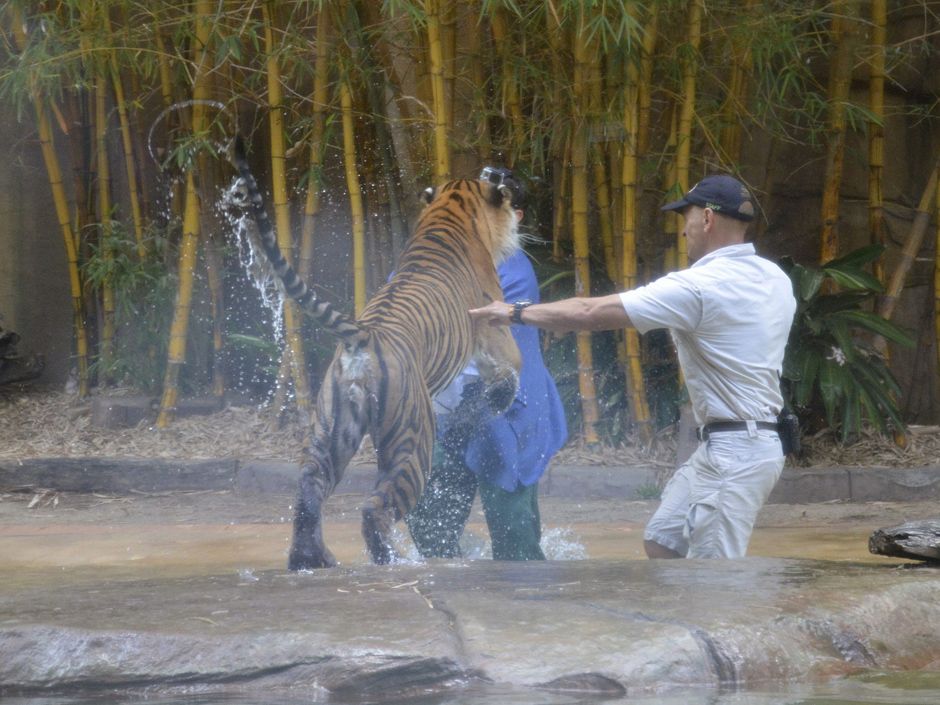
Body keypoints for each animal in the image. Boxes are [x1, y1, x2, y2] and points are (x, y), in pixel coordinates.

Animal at [226, 137, 522, 569]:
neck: (451, 206)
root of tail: (363, 336)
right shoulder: (495, 332)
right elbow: (509, 370)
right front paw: (498, 399)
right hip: (412, 445)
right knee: (374, 508)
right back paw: (391, 560)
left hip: (330, 431)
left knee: (308, 491)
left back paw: (310, 559)